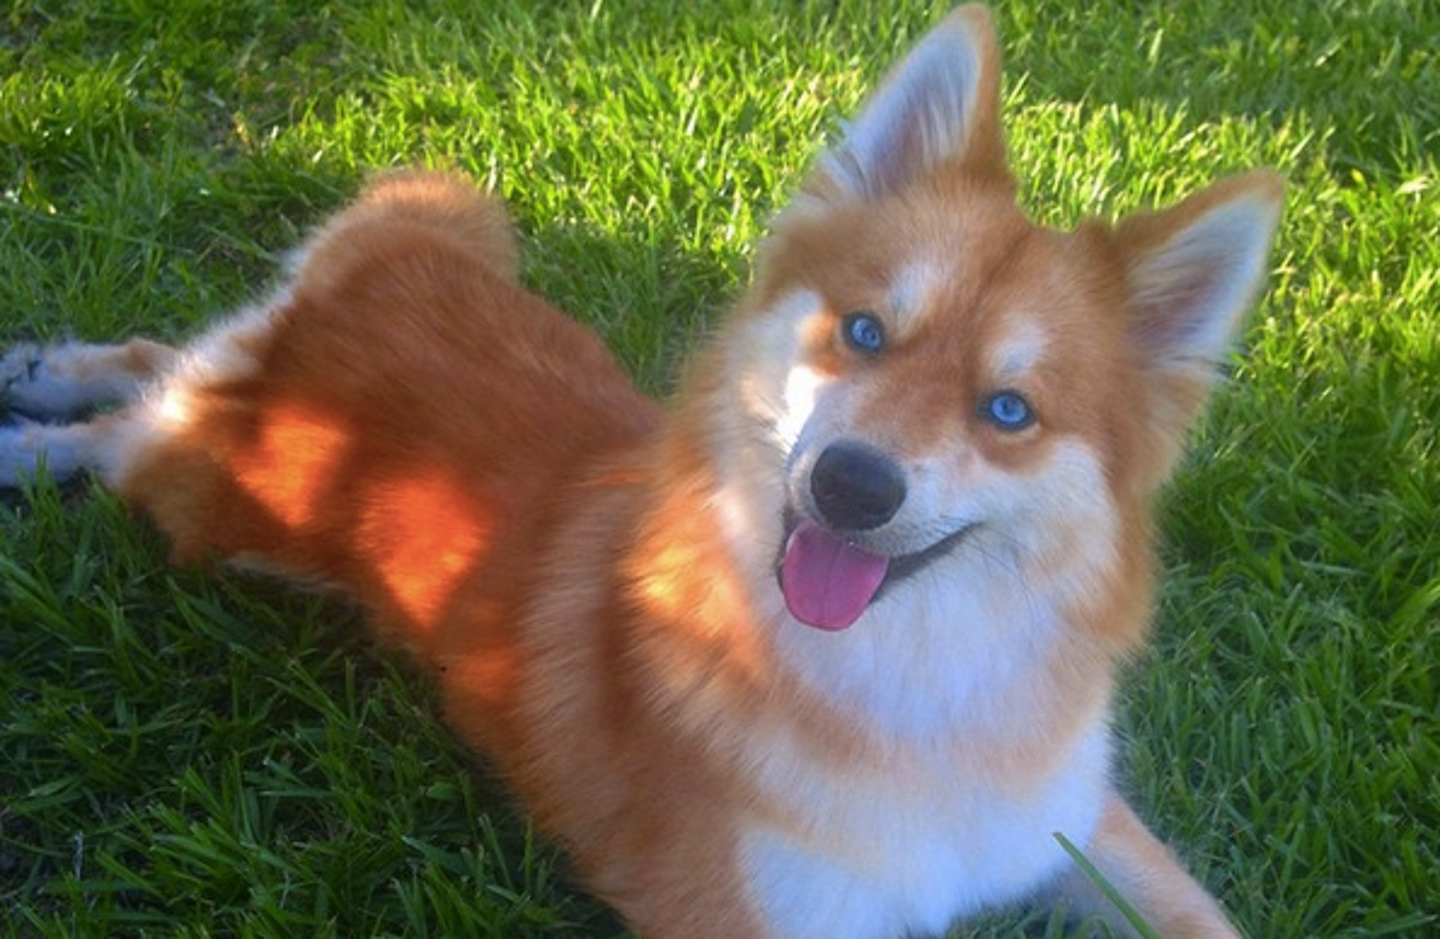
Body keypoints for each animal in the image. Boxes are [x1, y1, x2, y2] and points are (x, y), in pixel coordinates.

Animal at [0, 5, 1281, 938]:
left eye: (1009, 411)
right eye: (865, 333)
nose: (851, 486)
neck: (913, 694)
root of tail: (379, 279)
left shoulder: (1075, 826)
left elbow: (1205, 915)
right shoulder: (746, 917)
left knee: (164, 358)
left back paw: (44, 371)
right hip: (204, 496)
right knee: (136, 416)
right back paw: (34, 428)